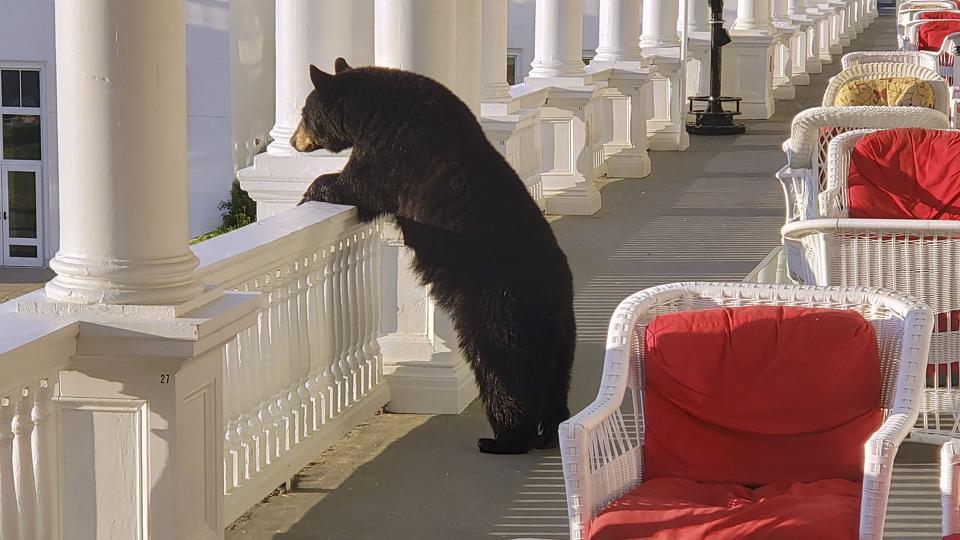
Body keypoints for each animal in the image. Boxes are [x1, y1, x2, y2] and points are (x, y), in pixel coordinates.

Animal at [291, 58, 576, 455]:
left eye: (304, 113)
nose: (292, 140)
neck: (372, 111)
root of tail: (554, 290)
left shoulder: (393, 150)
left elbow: (359, 185)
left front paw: (308, 194)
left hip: (498, 307)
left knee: (501, 364)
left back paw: (504, 438)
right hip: (559, 328)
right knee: (554, 374)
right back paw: (549, 428)